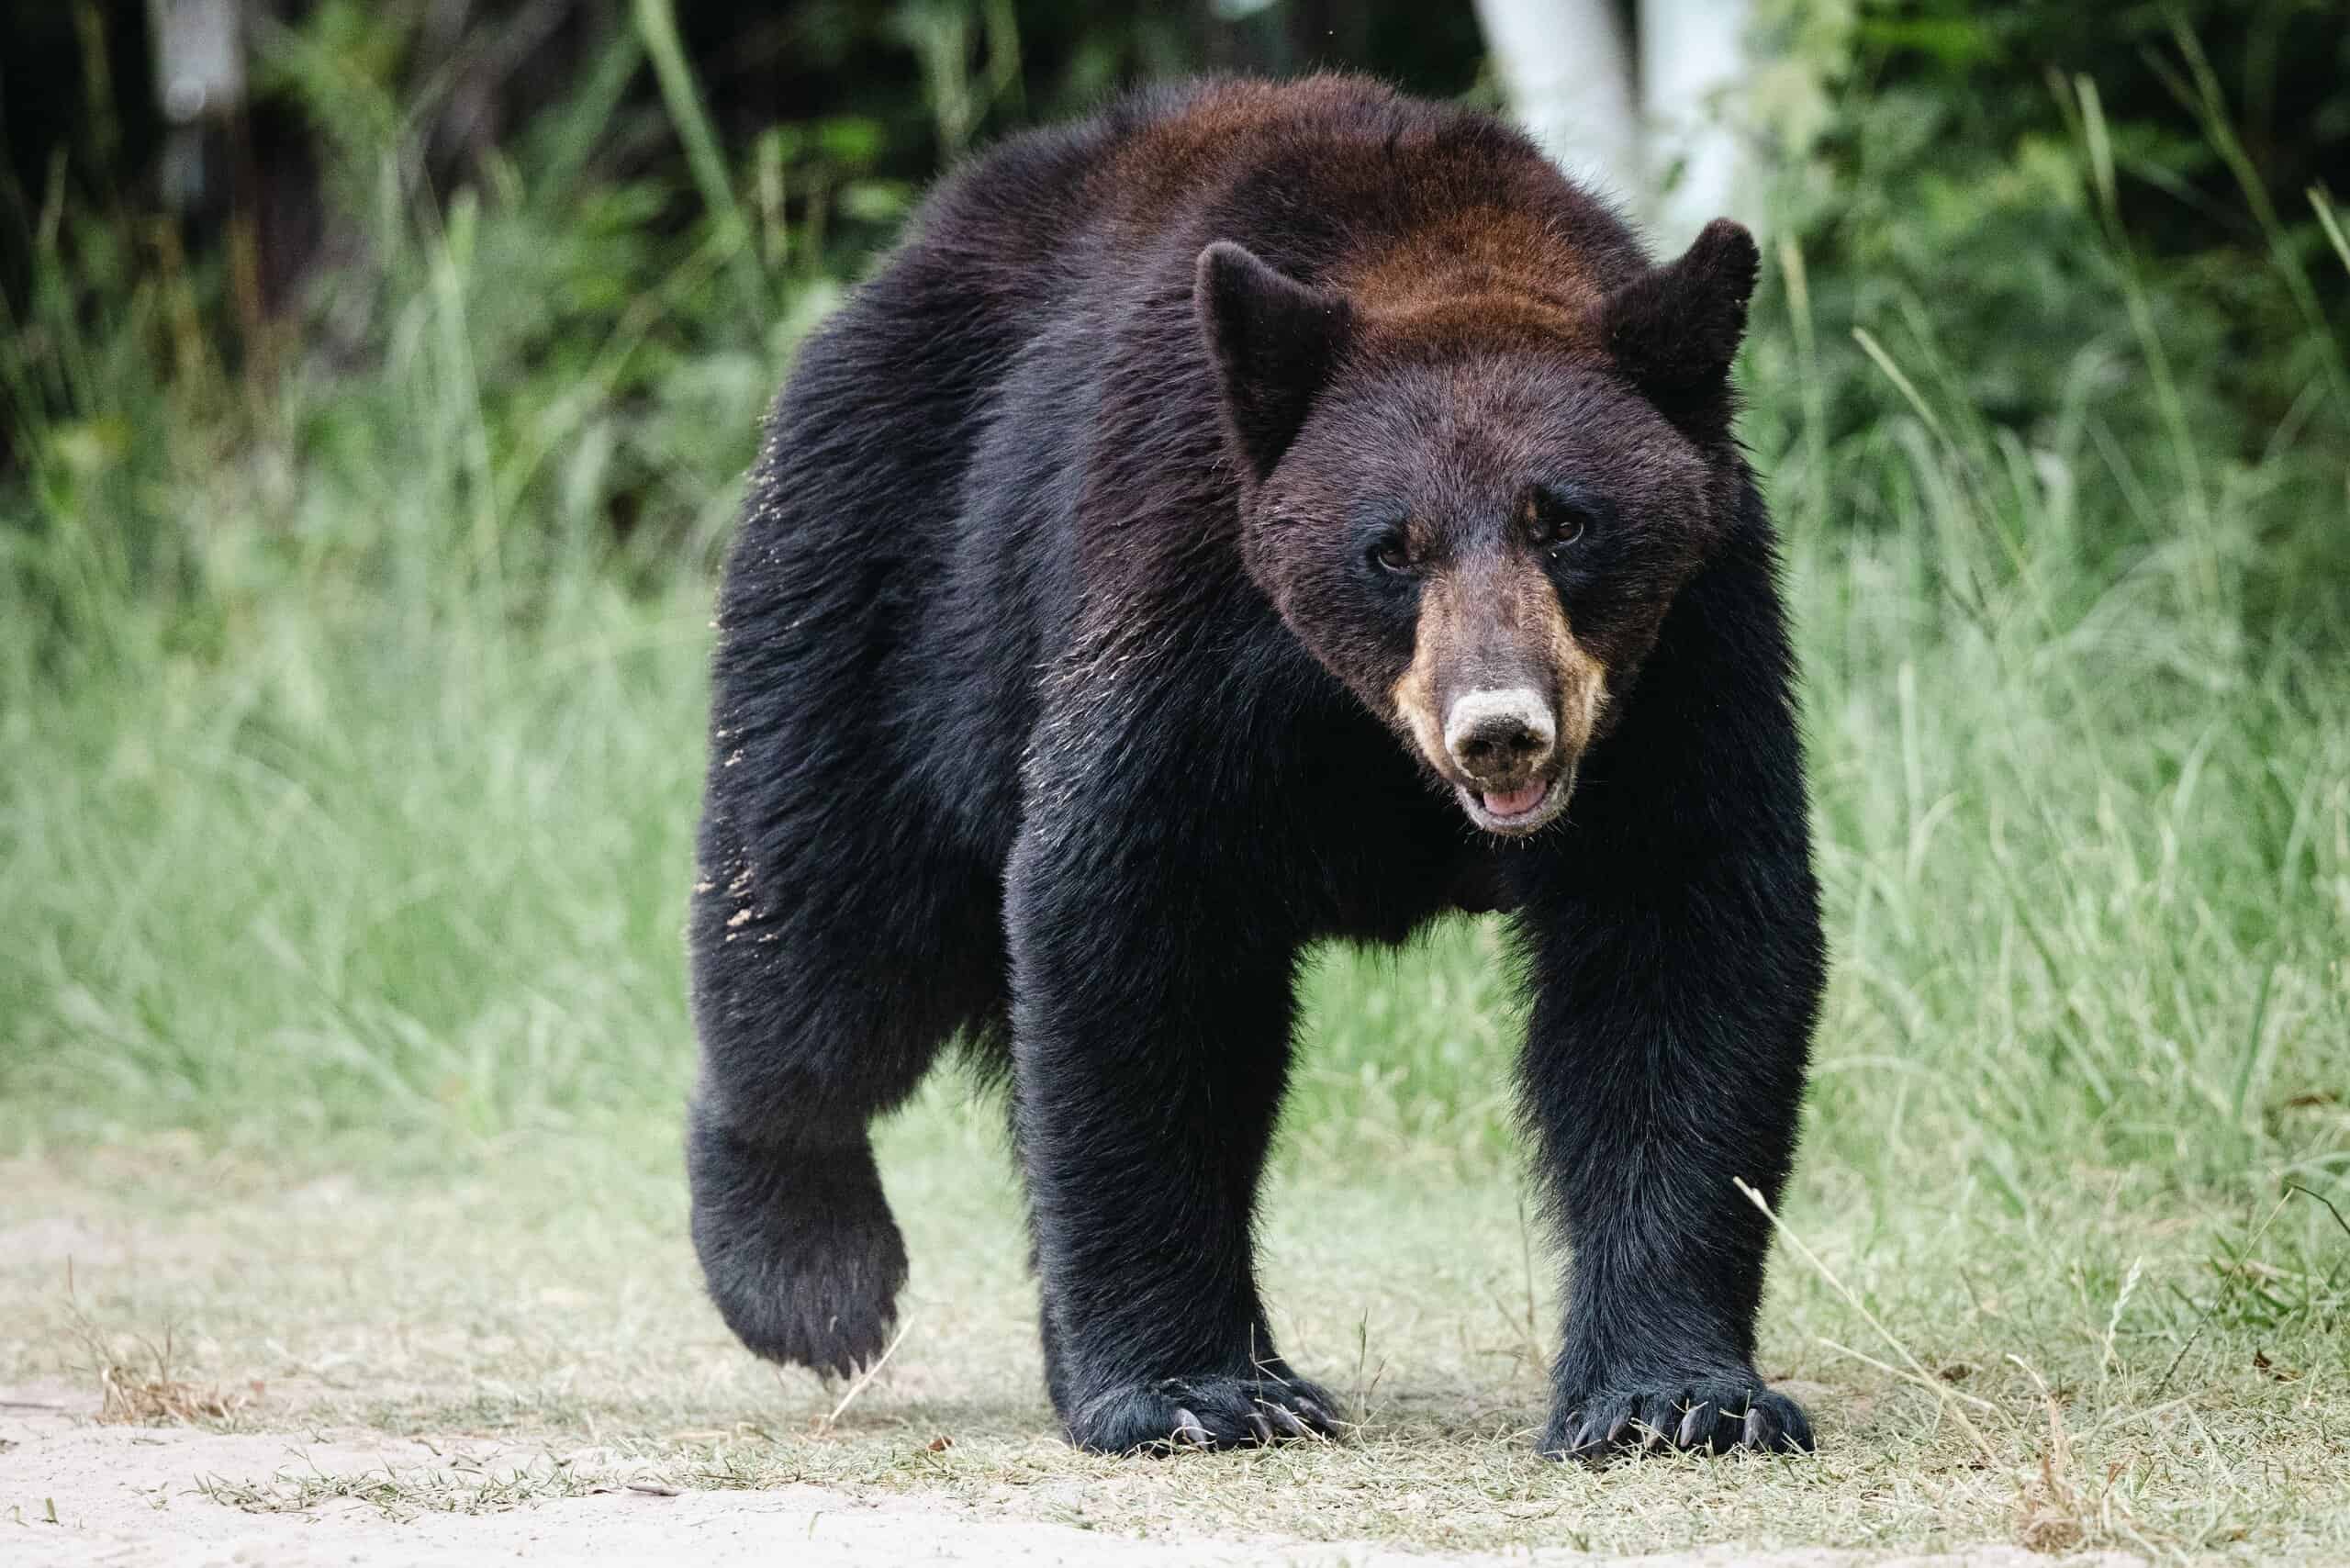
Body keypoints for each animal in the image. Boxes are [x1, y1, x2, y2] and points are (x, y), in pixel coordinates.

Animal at [685, 74, 1825, 1461]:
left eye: (1565, 521)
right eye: (1392, 546)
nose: (1501, 728)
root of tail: (918, 239)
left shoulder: (1688, 665)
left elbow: (1686, 940)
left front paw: (1677, 1395)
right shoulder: (1184, 600)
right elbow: (1135, 925)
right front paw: (1198, 1389)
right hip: (883, 581)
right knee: (824, 938)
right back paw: (805, 1274)